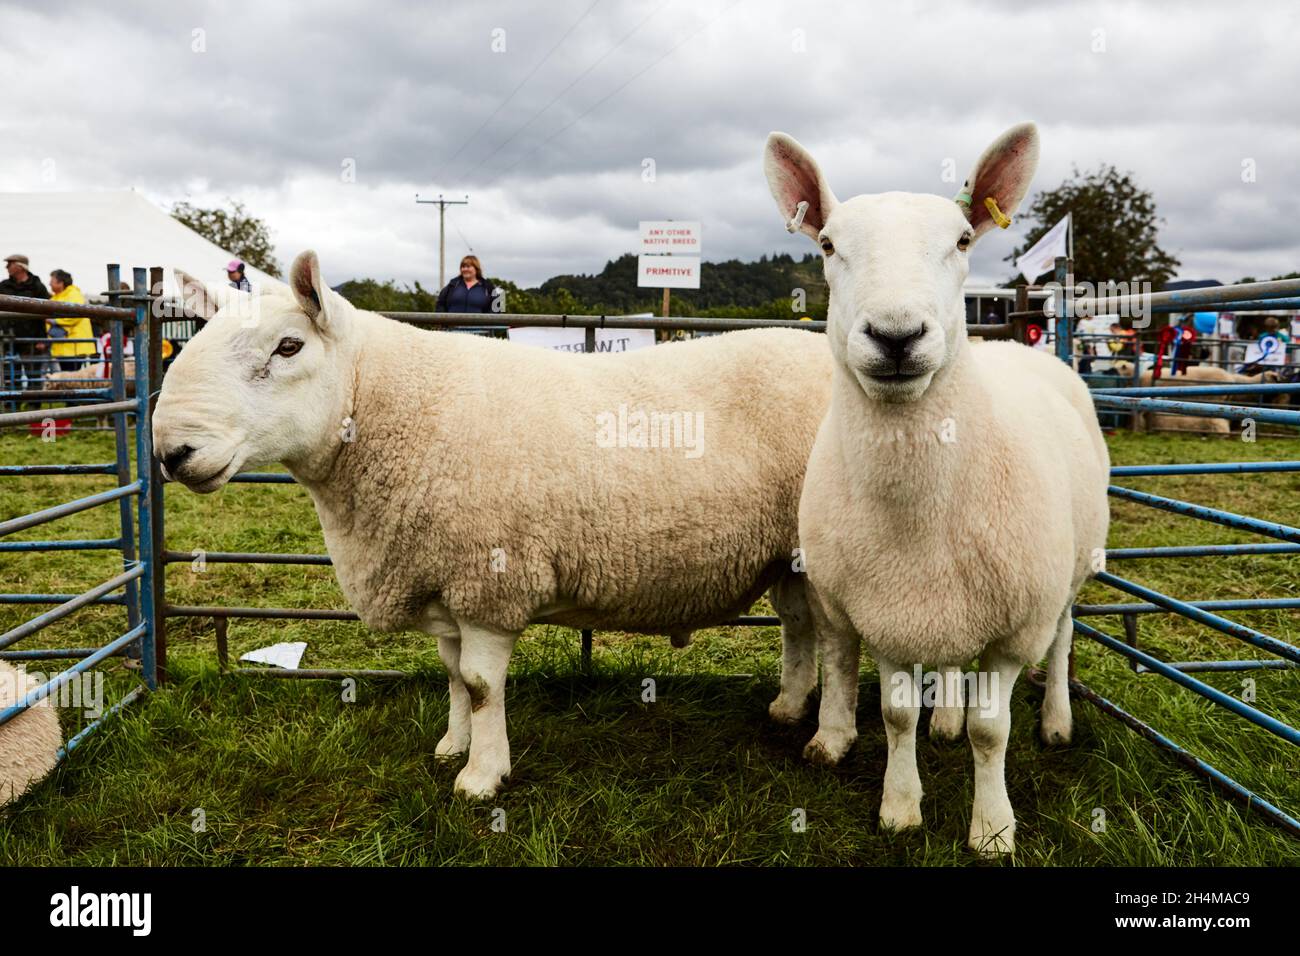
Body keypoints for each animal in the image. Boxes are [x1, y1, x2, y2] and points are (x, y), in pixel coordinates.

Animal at [152, 259, 833, 798]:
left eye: (289, 347)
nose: (172, 452)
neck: (389, 409)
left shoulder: (488, 583)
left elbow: (481, 686)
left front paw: (481, 777)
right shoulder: (447, 579)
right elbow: (454, 677)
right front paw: (453, 745)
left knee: (830, 639)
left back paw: (826, 736)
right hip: (789, 554)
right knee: (799, 626)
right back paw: (788, 706)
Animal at [764, 123, 1110, 855]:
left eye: (962, 239)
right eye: (828, 244)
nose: (896, 336)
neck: (917, 511)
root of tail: (1016, 346)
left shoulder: (1016, 627)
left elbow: (993, 730)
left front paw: (992, 828)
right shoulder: (887, 612)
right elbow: (897, 716)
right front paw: (900, 808)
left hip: (1069, 571)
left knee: (1064, 636)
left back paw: (1056, 722)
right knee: (951, 664)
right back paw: (946, 720)